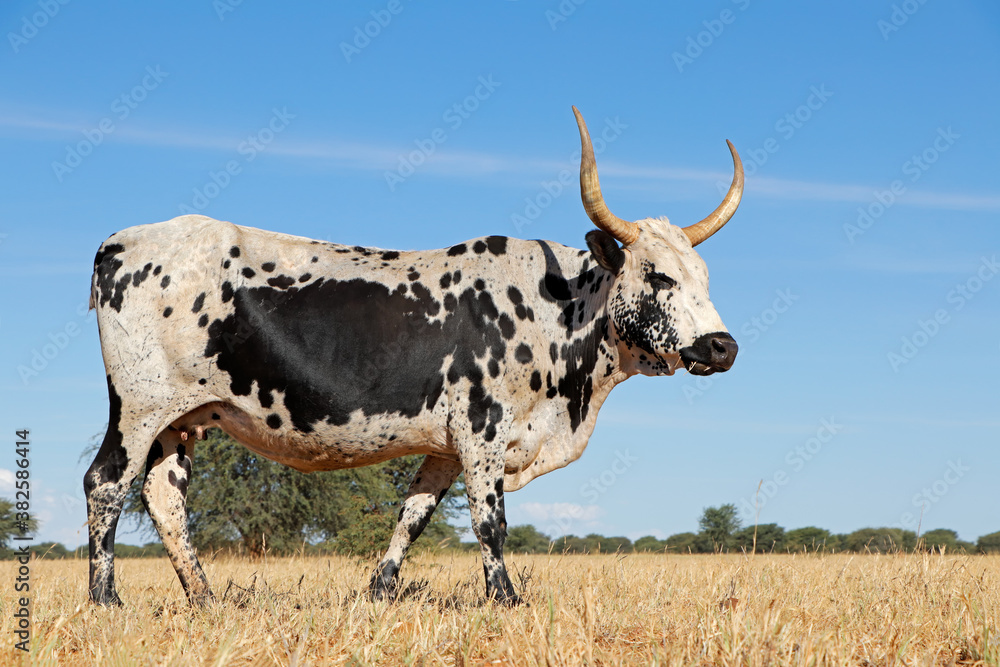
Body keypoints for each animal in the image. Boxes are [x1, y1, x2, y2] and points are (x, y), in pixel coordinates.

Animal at [84, 107, 743, 607]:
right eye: (657, 275)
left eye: (706, 276)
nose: (723, 345)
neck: (557, 310)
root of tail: (122, 241)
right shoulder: (481, 433)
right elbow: (489, 522)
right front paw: (506, 600)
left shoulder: (444, 447)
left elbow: (413, 515)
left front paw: (379, 591)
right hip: (140, 405)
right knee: (106, 483)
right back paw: (106, 600)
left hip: (181, 420)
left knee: (165, 497)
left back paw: (205, 599)